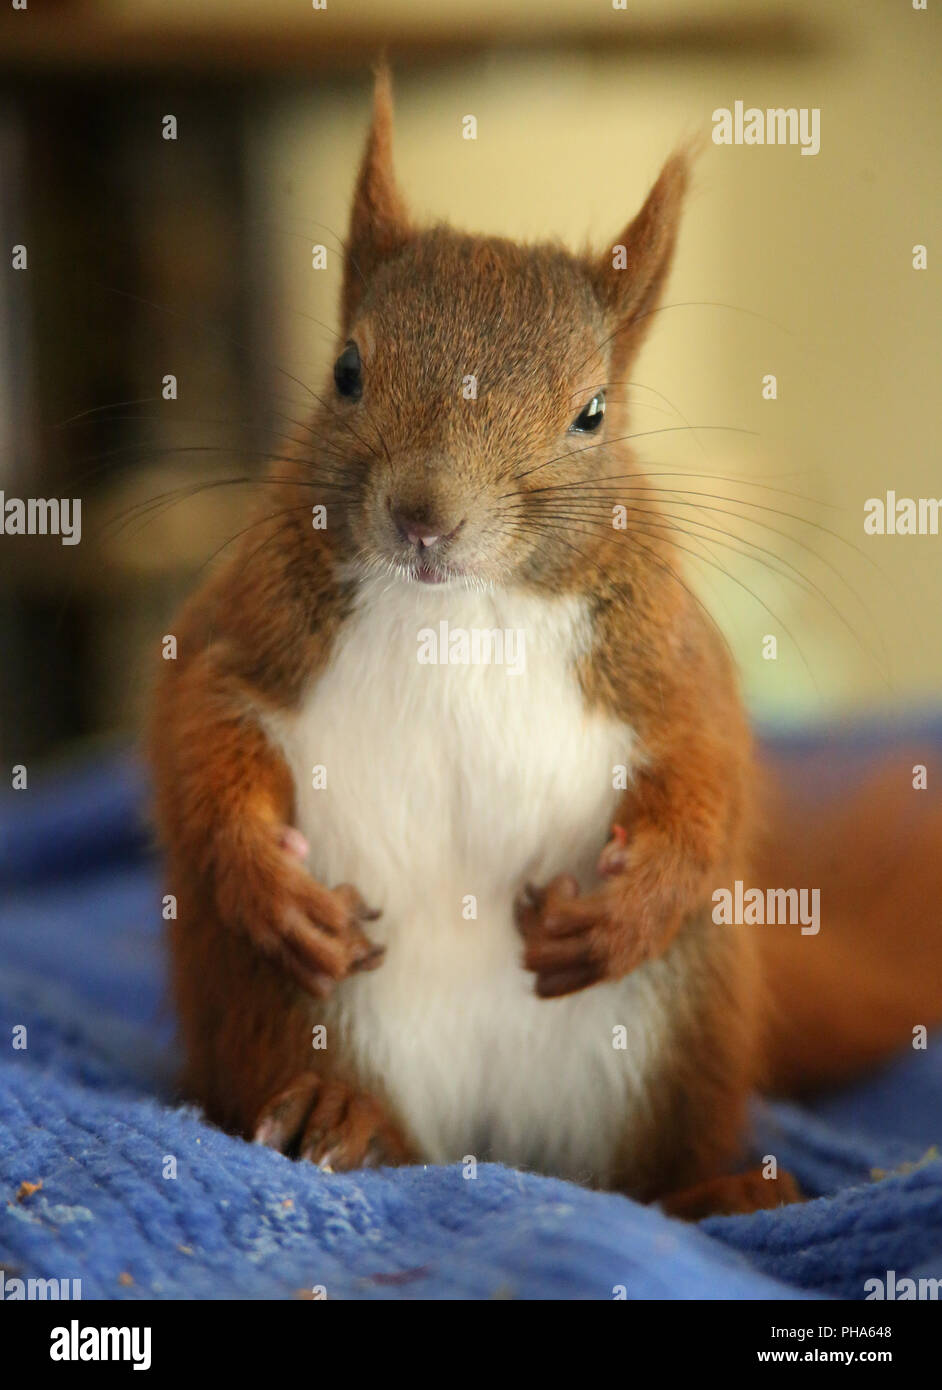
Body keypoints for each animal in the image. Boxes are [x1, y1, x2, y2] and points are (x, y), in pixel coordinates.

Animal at [149, 68, 942, 1220]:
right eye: (345, 370)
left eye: (593, 412)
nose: (426, 516)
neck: (455, 610)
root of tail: (492, 1147)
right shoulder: (239, 633)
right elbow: (195, 733)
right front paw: (269, 886)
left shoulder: (668, 666)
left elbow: (712, 772)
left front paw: (629, 905)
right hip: (286, 1010)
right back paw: (343, 1118)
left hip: (677, 1026)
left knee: (643, 1175)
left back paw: (718, 1194)